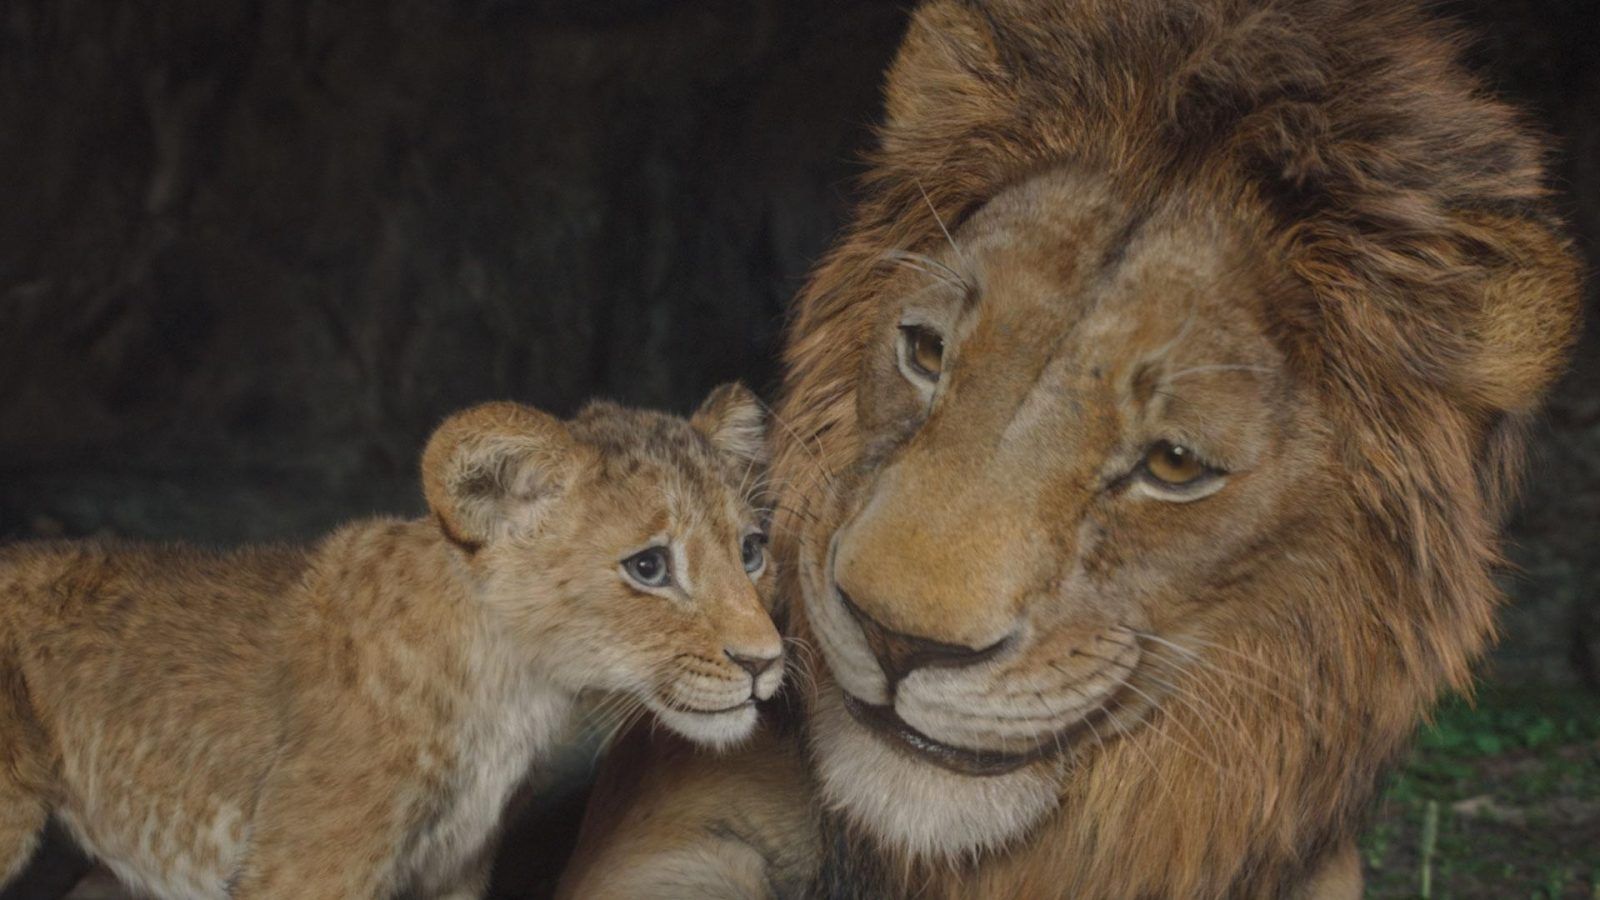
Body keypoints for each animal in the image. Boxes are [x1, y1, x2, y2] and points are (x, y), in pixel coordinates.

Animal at [0, 385, 783, 899]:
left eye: (750, 552)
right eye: (649, 568)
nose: (765, 661)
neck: (514, 693)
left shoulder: (456, 870)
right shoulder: (307, 868)